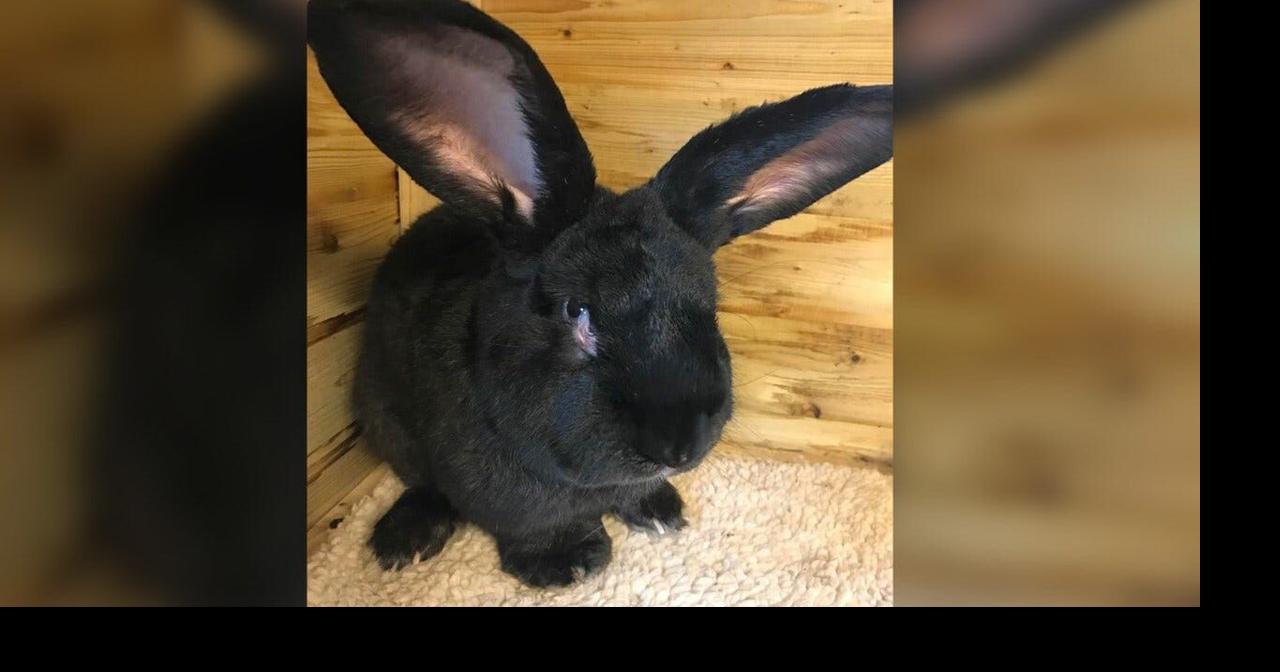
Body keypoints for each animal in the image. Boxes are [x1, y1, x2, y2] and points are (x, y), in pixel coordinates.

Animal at [308, 0, 893, 588]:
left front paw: (660, 513)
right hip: (382, 414)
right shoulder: (504, 500)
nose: (679, 446)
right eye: (577, 311)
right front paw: (567, 564)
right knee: (420, 481)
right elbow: (530, 526)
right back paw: (404, 541)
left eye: (710, 305)